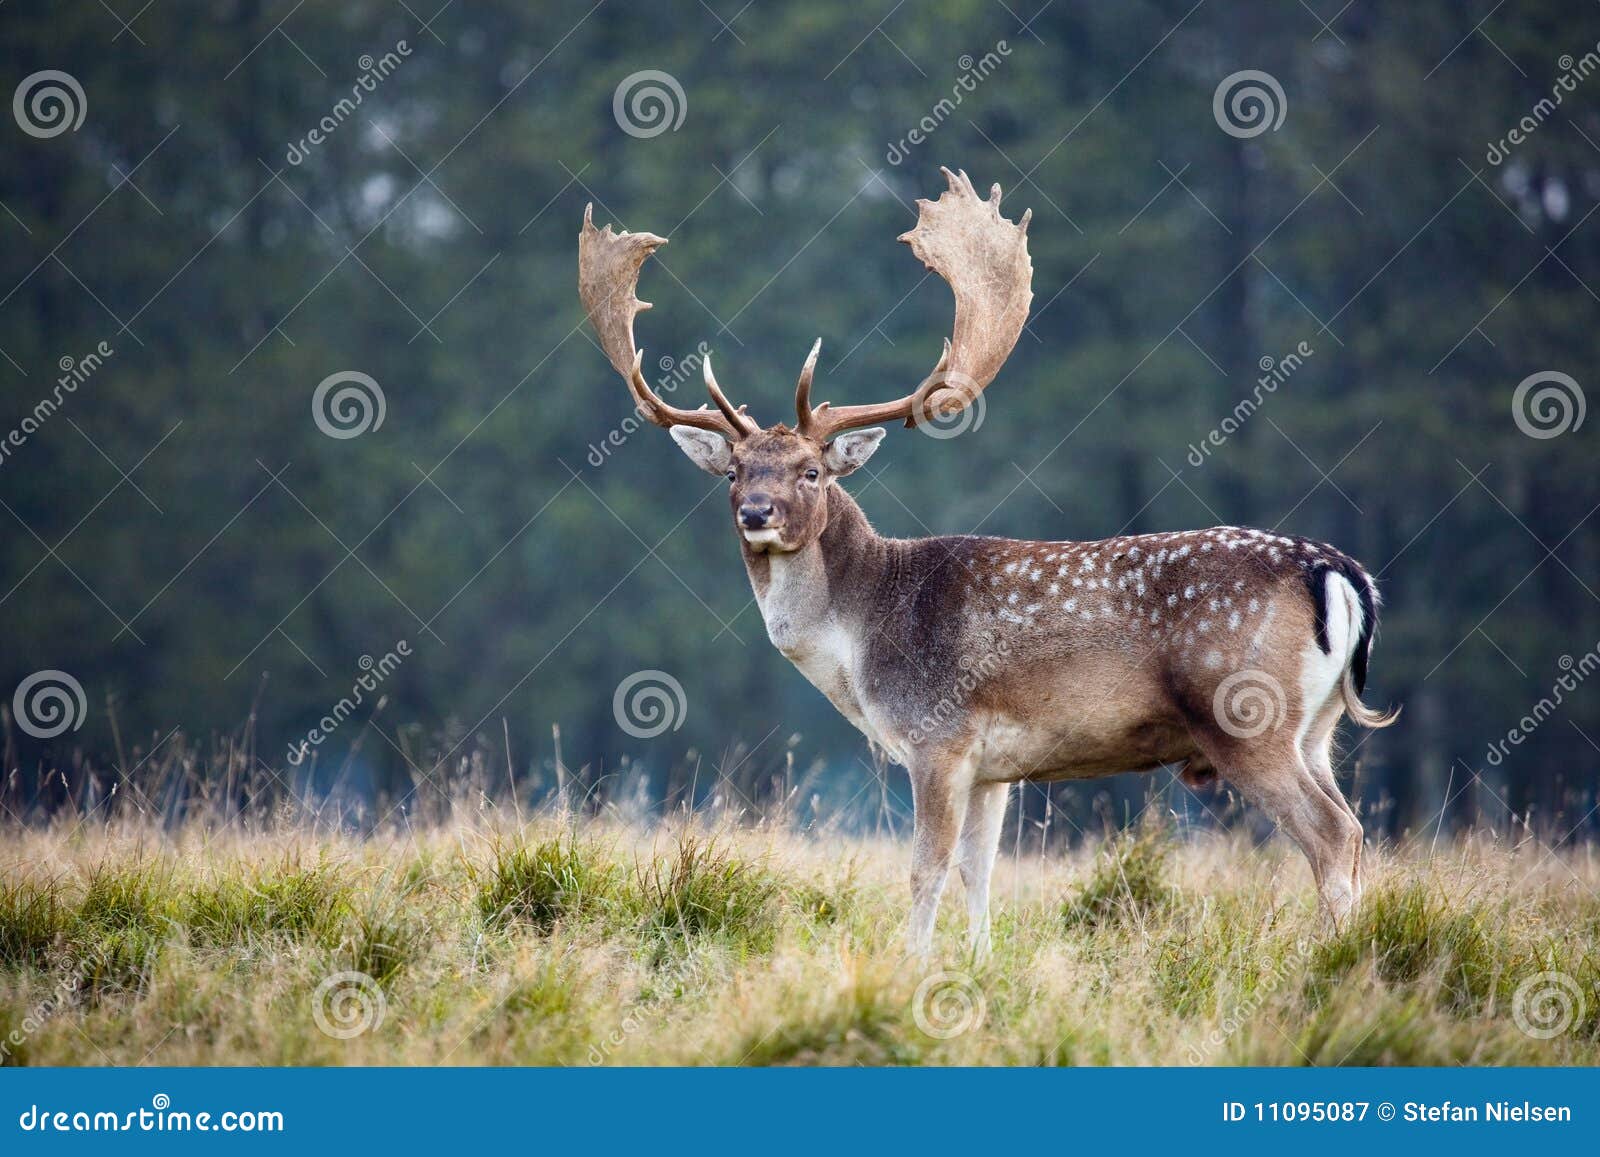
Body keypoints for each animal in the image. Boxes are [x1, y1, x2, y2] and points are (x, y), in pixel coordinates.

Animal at [578, 167, 1398, 959]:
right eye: (733, 471)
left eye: (812, 471)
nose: (756, 514)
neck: (860, 642)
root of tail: (1339, 574)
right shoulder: (995, 765)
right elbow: (980, 868)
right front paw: (977, 962)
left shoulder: (937, 737)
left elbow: (926, 867)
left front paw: (910, 965)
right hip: (1317, 726)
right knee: (1353, 830)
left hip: (1247, 712)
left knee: (1335, 835)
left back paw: (1328, 960)